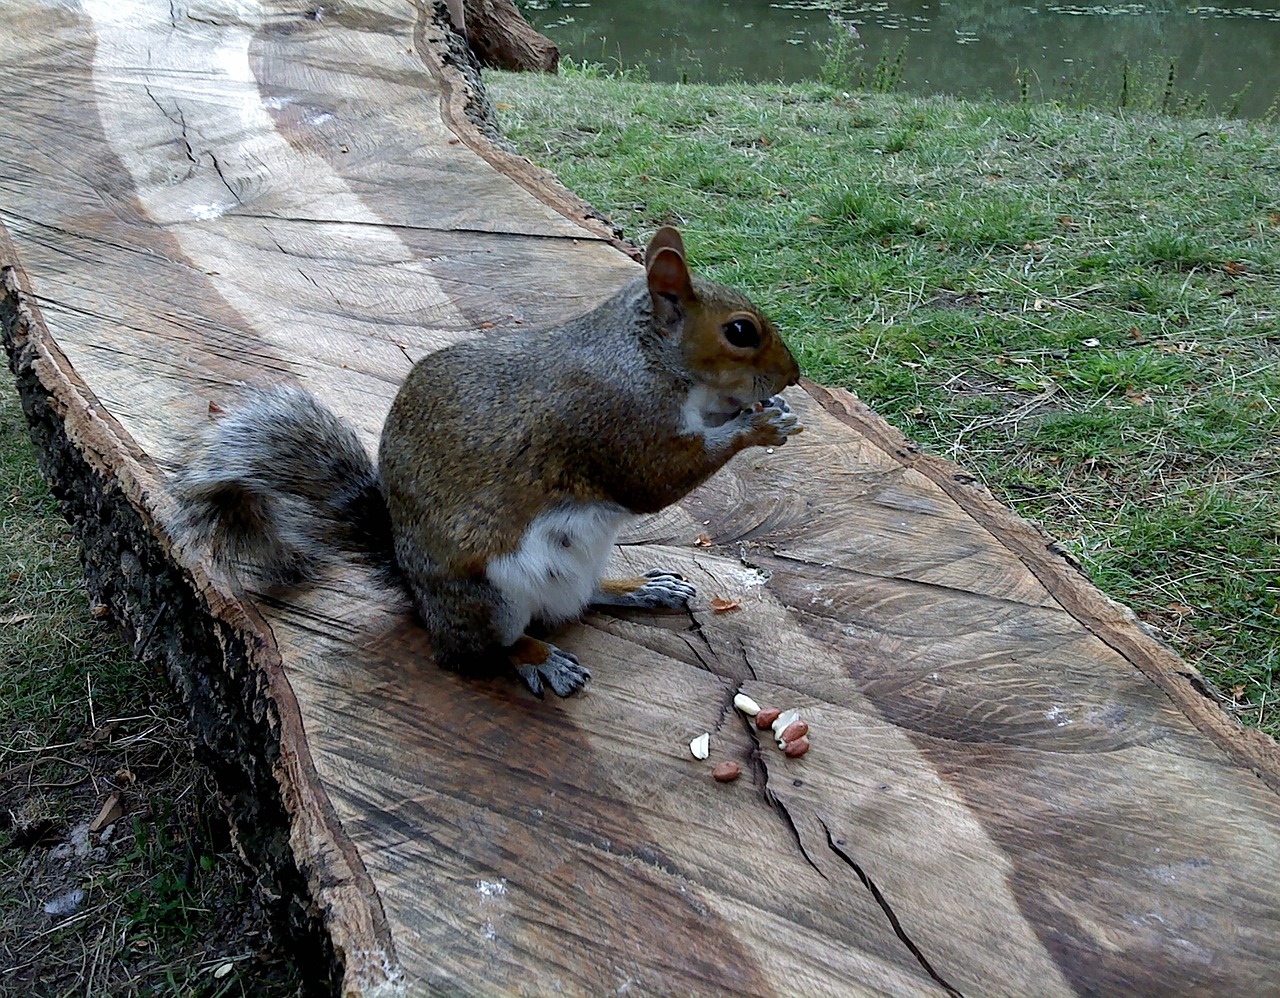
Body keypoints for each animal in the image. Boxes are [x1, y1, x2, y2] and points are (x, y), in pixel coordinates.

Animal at [172, 226, 802, 697]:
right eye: (740, 332)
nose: (794, 375)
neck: (647, 358)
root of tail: (421, 599)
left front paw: (771, 411)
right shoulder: (610, 424)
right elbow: (656, 481)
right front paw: (759, 427)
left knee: (574, 602)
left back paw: (637, 587)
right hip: (487, 597)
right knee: (476, 652)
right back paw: (536, 657)